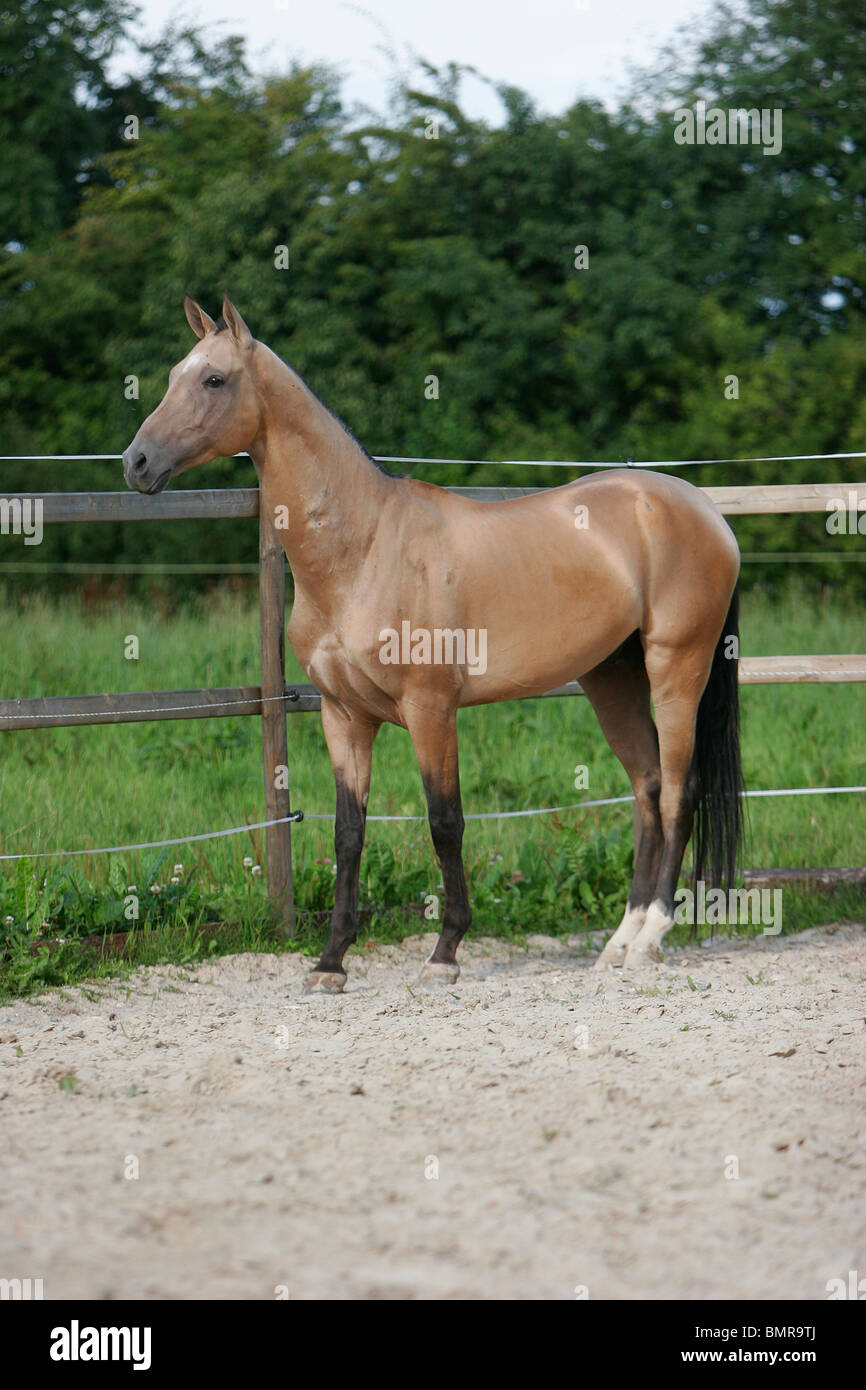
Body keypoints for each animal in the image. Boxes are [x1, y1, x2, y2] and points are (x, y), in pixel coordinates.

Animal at [123, 295, 744, 991]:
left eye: (213, 379)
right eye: (173, 374)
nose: (136, 463)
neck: (362, 548)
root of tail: (704, 510)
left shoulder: (431, 710)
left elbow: (445, 823)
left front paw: (445, 952)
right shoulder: (345, 718)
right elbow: (348, 833)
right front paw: (330, 963)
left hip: (676, 668)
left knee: (682, 791)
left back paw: (651, 939)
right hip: (611, 677)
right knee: (648, 789)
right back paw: (620, 942)